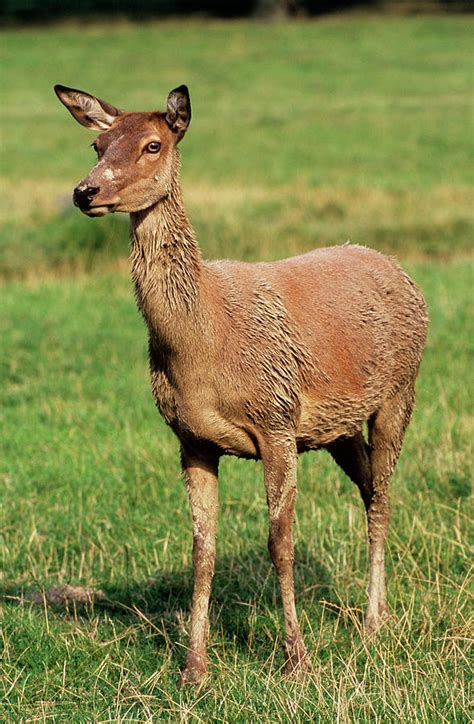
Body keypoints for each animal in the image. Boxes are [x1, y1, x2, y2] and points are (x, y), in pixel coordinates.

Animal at [55, 83, 428, 685]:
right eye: (97, 144)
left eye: (153, 144)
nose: (84, 192)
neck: (203, 346)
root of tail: (397, 267)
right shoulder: (192, 438)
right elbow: (201, 551)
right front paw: (194, 668)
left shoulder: (276, 418)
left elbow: (280, 542)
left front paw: (297, 659)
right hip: (338, 427)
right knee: (370, 485)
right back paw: (381, 614)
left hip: (401, 390)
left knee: (383, 498)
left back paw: (374, 623)